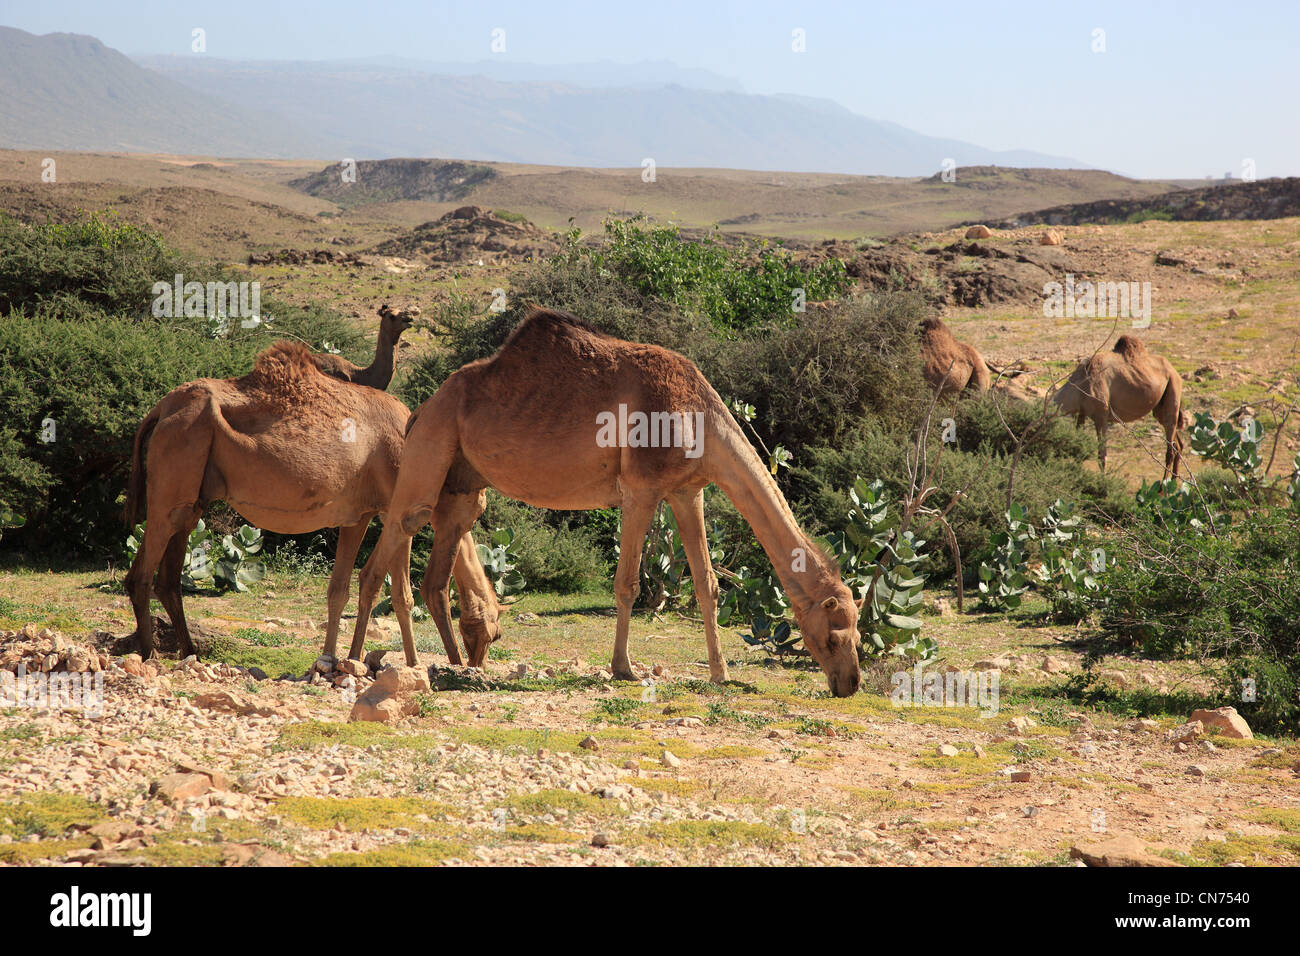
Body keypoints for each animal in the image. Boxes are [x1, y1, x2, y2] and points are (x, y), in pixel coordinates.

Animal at [123, 341, 500, 663]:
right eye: (493, 632)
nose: (473, 663)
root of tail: (160, 409)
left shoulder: (360, 514)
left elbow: (340, 590)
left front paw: (334, 658)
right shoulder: (396, 508)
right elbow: (401, 595)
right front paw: (410, 663)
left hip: (190, 500)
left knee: (169, 577)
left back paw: (189, 652)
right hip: (174, 474)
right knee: (140, 575)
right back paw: (150, 654)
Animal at [346, 308, 864, 698]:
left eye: (859, 632)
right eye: (834, 636)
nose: (851, 684)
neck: (700, 416)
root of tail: (419, 411)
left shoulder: (687, 489)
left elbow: (707, 583)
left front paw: (719, 673)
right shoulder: (640, 487)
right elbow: (628, 583)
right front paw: (624, 668)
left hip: (463, 488)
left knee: (435, 575)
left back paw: (458, 665)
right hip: (431, 449)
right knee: (394, 538)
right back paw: (349, 660)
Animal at [1051, 335, 1187, 478]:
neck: (1081, 384)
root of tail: (1174, 371)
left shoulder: (1101, 415)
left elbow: (1101, 454)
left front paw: (1103, 480)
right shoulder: (1082, 413)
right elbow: (1077, 447)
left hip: (1173, 389)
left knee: (1170, 449)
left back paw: (1164, 484)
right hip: (1160, 408)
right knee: (1178, 444)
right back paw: (1174, 480)